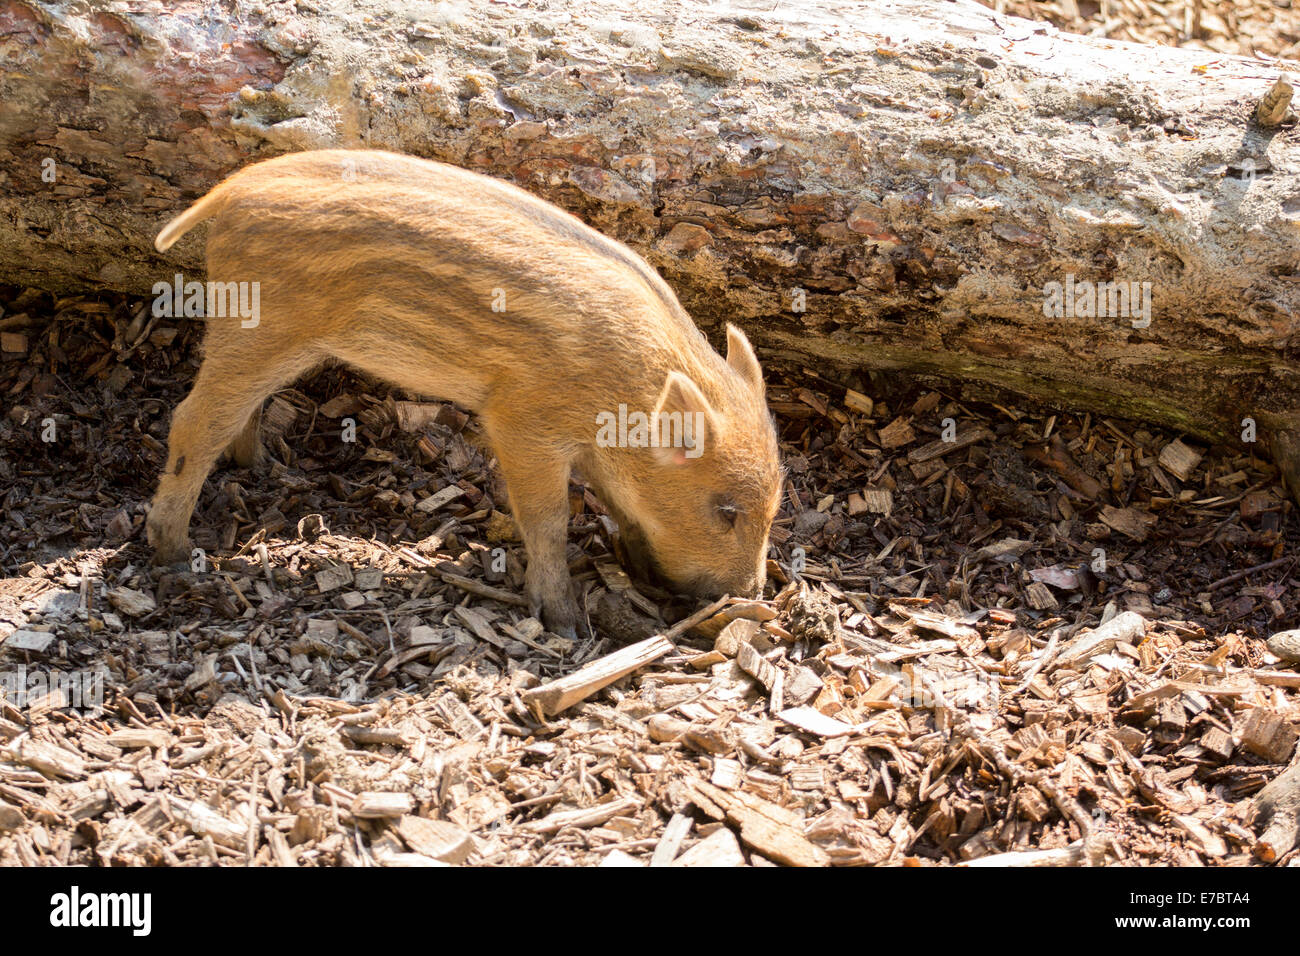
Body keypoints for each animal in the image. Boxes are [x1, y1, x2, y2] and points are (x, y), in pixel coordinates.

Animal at [146, 149, 782, 637]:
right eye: (726, 511)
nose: (751, 597)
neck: (628, 390)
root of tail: (229, 192)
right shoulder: (523, 422)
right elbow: (550, 518)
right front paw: (564, 622)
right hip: (259, 327)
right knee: (193, 420)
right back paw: (173, 553)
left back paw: (261, 467)